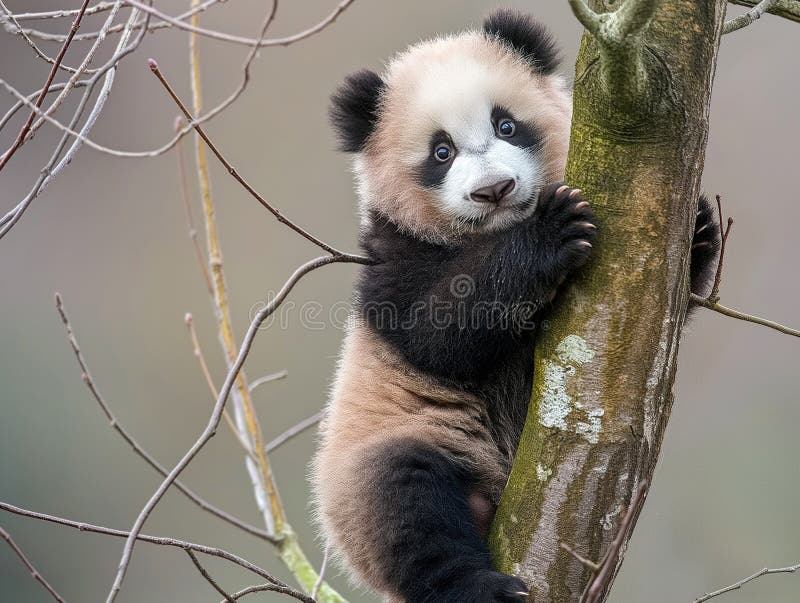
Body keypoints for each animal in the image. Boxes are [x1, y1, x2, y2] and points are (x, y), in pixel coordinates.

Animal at [312, 9, 720, 603]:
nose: (495, 189)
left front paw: (700, 231)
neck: (488, 233)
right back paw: (476, 585)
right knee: (407, 507)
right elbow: (439, 333)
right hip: (382, 448)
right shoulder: (392, 259)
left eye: (506, 125)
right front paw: (548, 235)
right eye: (442, 152)